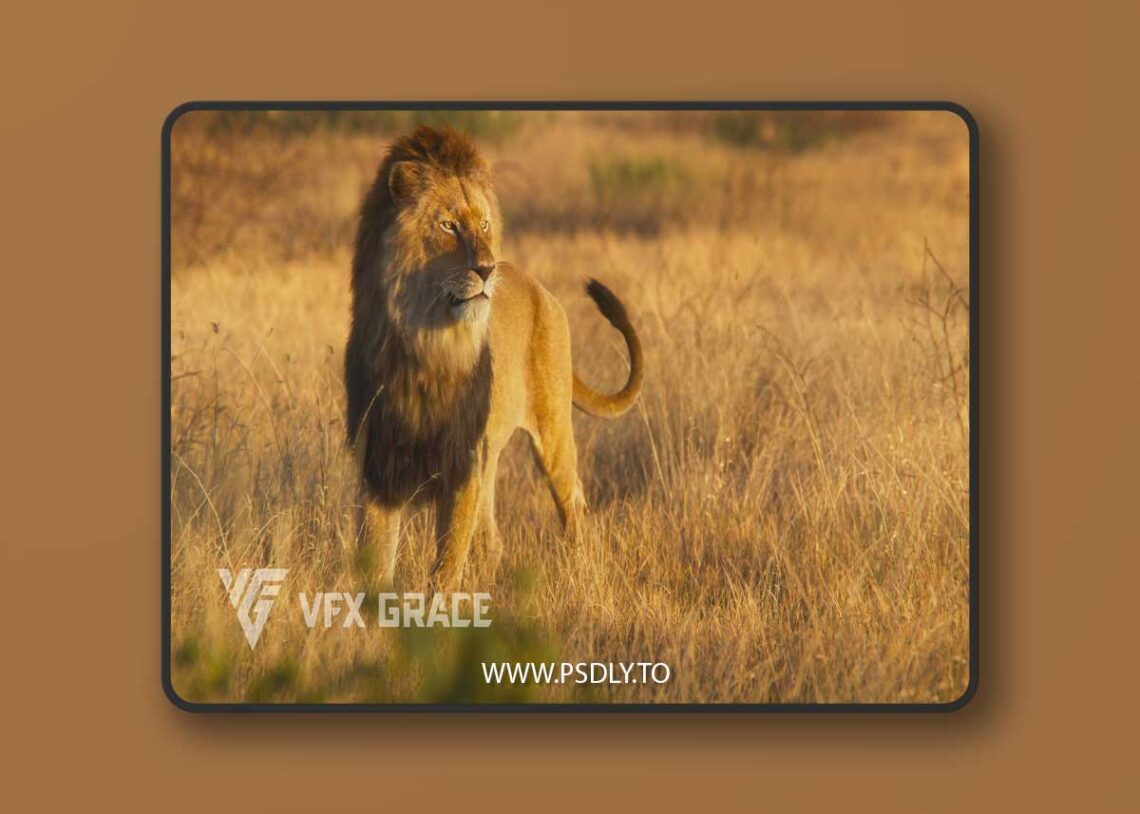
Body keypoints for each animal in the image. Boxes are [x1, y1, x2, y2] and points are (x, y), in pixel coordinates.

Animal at [344, 125, 643, 591]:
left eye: (484, 224)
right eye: (448, 225)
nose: (486, 270)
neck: (425, 345)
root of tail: (542, 290)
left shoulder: (463, 464)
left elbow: (447, 564)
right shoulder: (379, 467)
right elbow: (376, 561)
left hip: (552, 434)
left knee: (573, 501)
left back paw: (581, 571)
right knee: (494, 541)